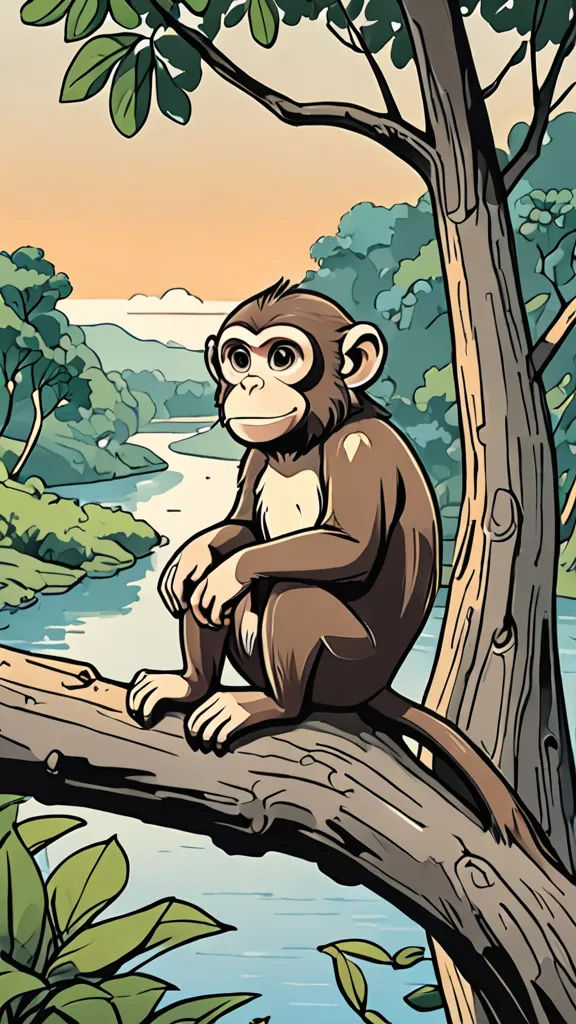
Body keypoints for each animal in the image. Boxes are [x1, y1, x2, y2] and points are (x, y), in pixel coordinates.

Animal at [127, 279, 560, 869]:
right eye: (239, 358)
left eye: (281, 357)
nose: (251, 382)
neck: (301, 443)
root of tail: (377, 688)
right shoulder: (257, 456)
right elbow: (239, 528)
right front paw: (194, 555)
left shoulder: (362, 452)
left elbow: (347, 549)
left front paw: (228, 571)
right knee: (218, 598)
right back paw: (191, 683)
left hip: (348, 670)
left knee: (294, 597)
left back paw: (270, 703)